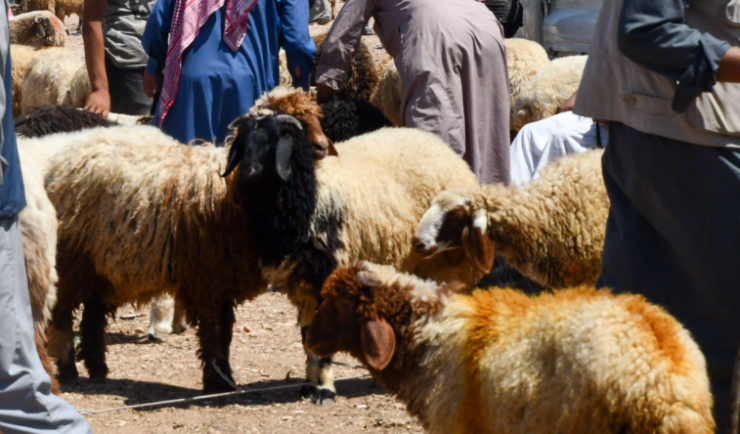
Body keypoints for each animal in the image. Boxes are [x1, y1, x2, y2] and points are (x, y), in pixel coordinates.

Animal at [44, 125, 267, 393]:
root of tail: (60, 161)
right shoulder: (207, 280)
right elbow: (213, 332)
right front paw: (216, 382)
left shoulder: (221, 281)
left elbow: (224, 332)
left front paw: (225, 380)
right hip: (72, 260)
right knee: (63, 316)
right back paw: (69, 369)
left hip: (101, 267)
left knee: (93, 314)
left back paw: (97, 368)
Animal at [224, 87, 482, 404]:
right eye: (246, 140)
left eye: (273, 139)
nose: (248, 170)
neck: (314, 193)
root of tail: (434, 142)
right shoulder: (303, 279)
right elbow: (308, 334)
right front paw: (310, 384)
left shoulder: (327, 270)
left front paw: (324, 390)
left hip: (445, 260)